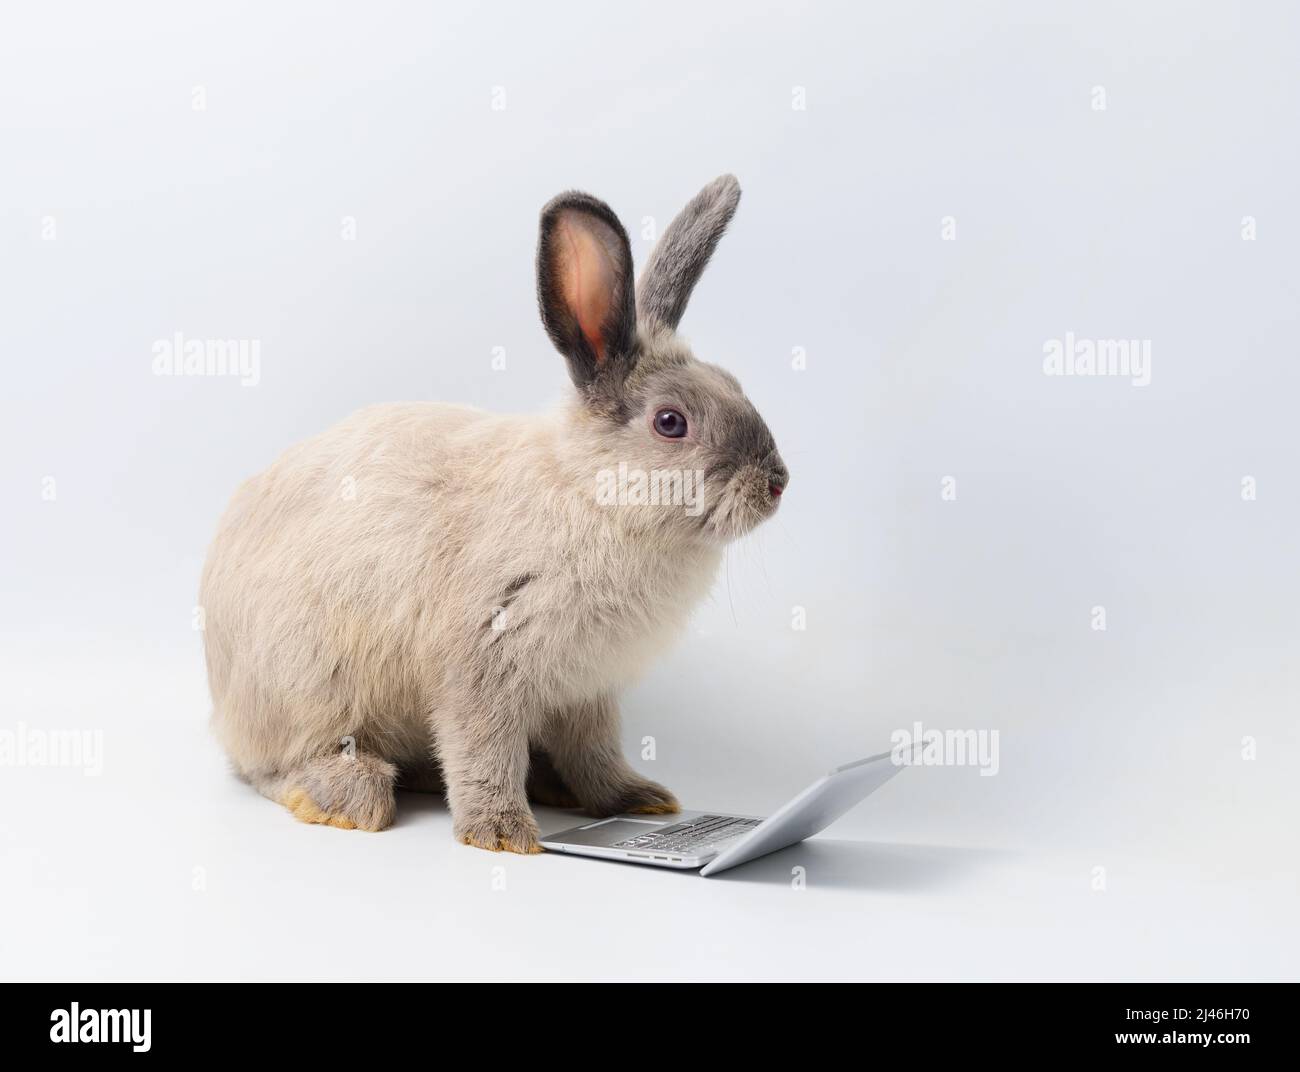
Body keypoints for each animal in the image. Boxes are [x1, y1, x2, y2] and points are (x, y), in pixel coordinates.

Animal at [200, 174, 789, 852]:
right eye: (671, 422)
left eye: (735, 386)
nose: (777, 483)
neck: (592, 495)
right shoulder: (483, 662)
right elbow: (483, 752)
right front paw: (502, 835)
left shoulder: (588, 692)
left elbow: (597, 754)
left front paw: (635, 799)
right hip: (306, 686)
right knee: (273, 768)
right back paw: (350, 796)